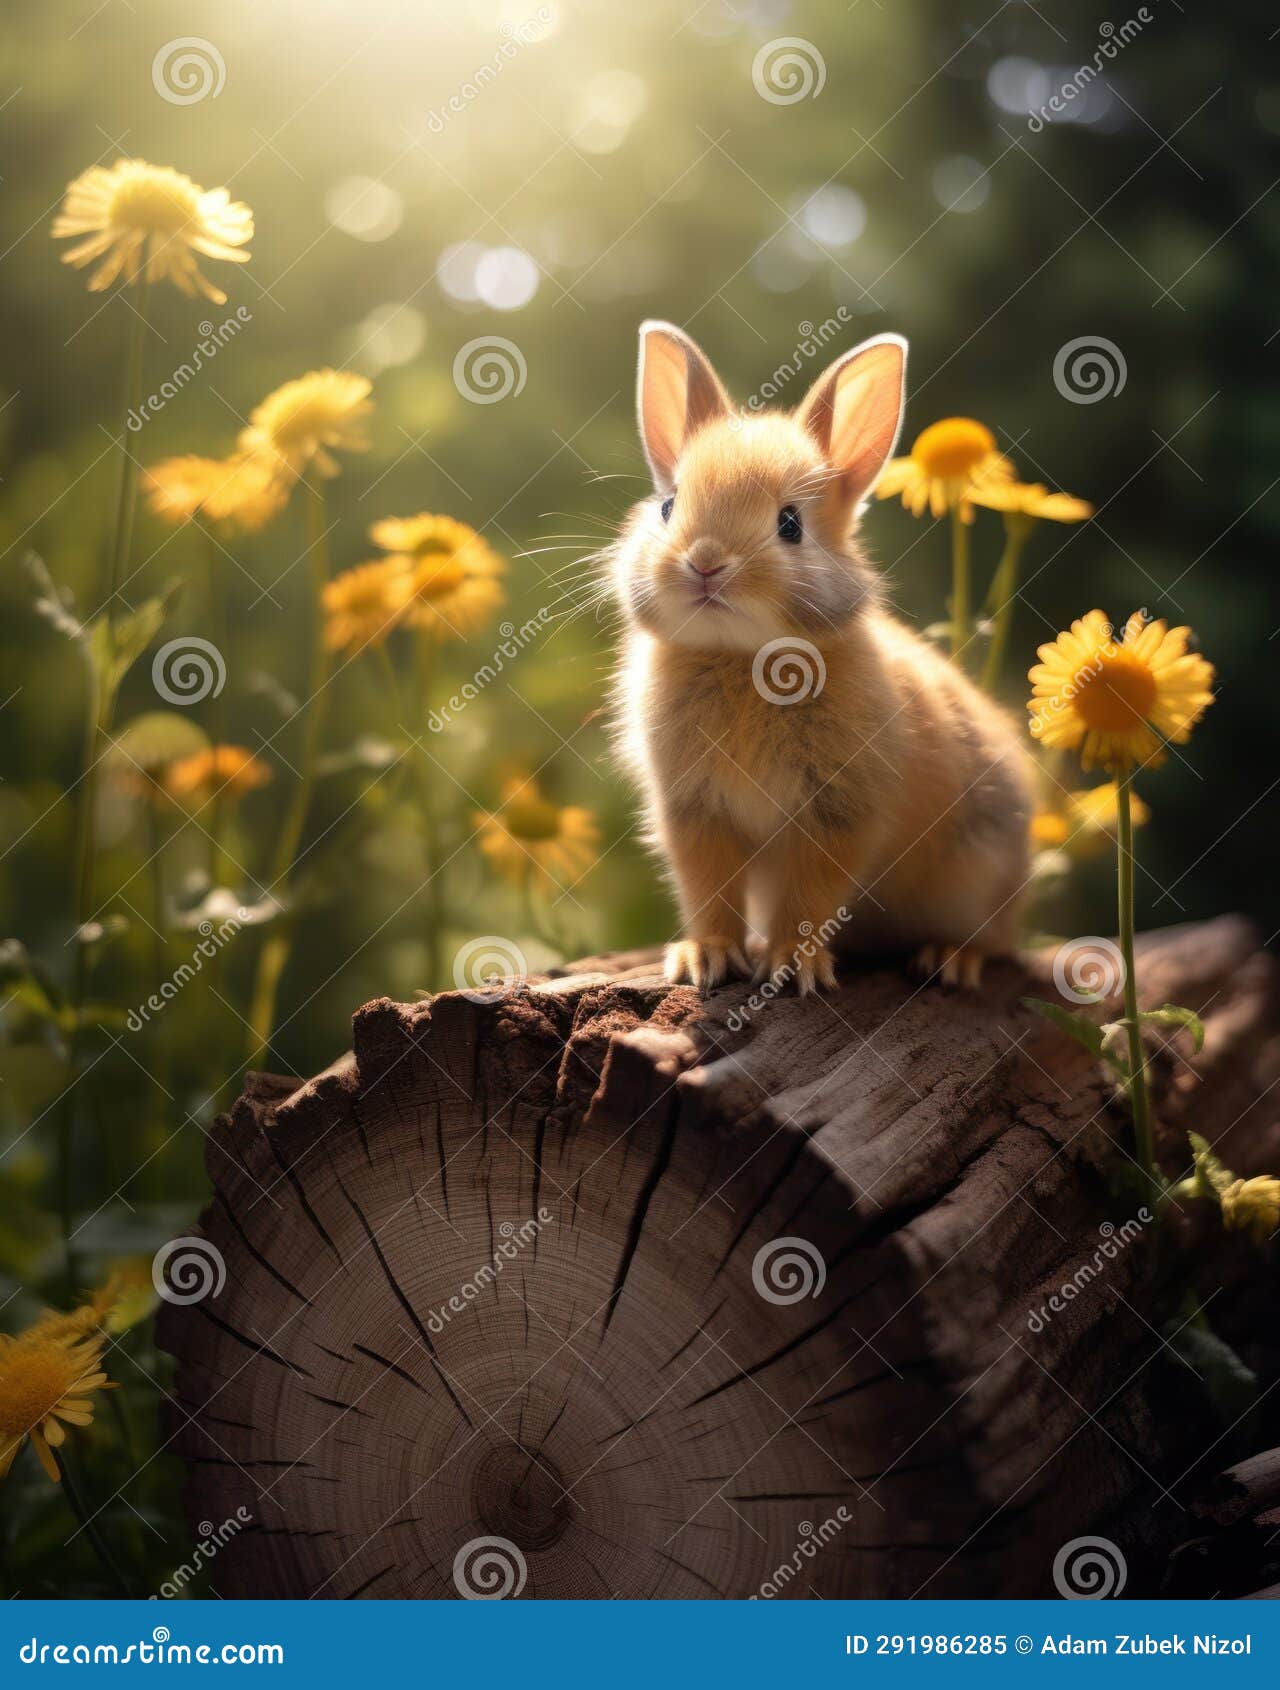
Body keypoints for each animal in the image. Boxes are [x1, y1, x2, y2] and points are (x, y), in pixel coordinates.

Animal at [609, 320, 1033, 996]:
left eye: (790, 524)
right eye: (669, 506)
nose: (706, 561)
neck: (745, 658)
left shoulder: (839, 812)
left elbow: (810, 893)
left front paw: (791, 967)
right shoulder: (695, 811)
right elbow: (709, 890)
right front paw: (706, 959)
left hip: (979, 876)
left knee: (996, 942)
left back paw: (949, 961)